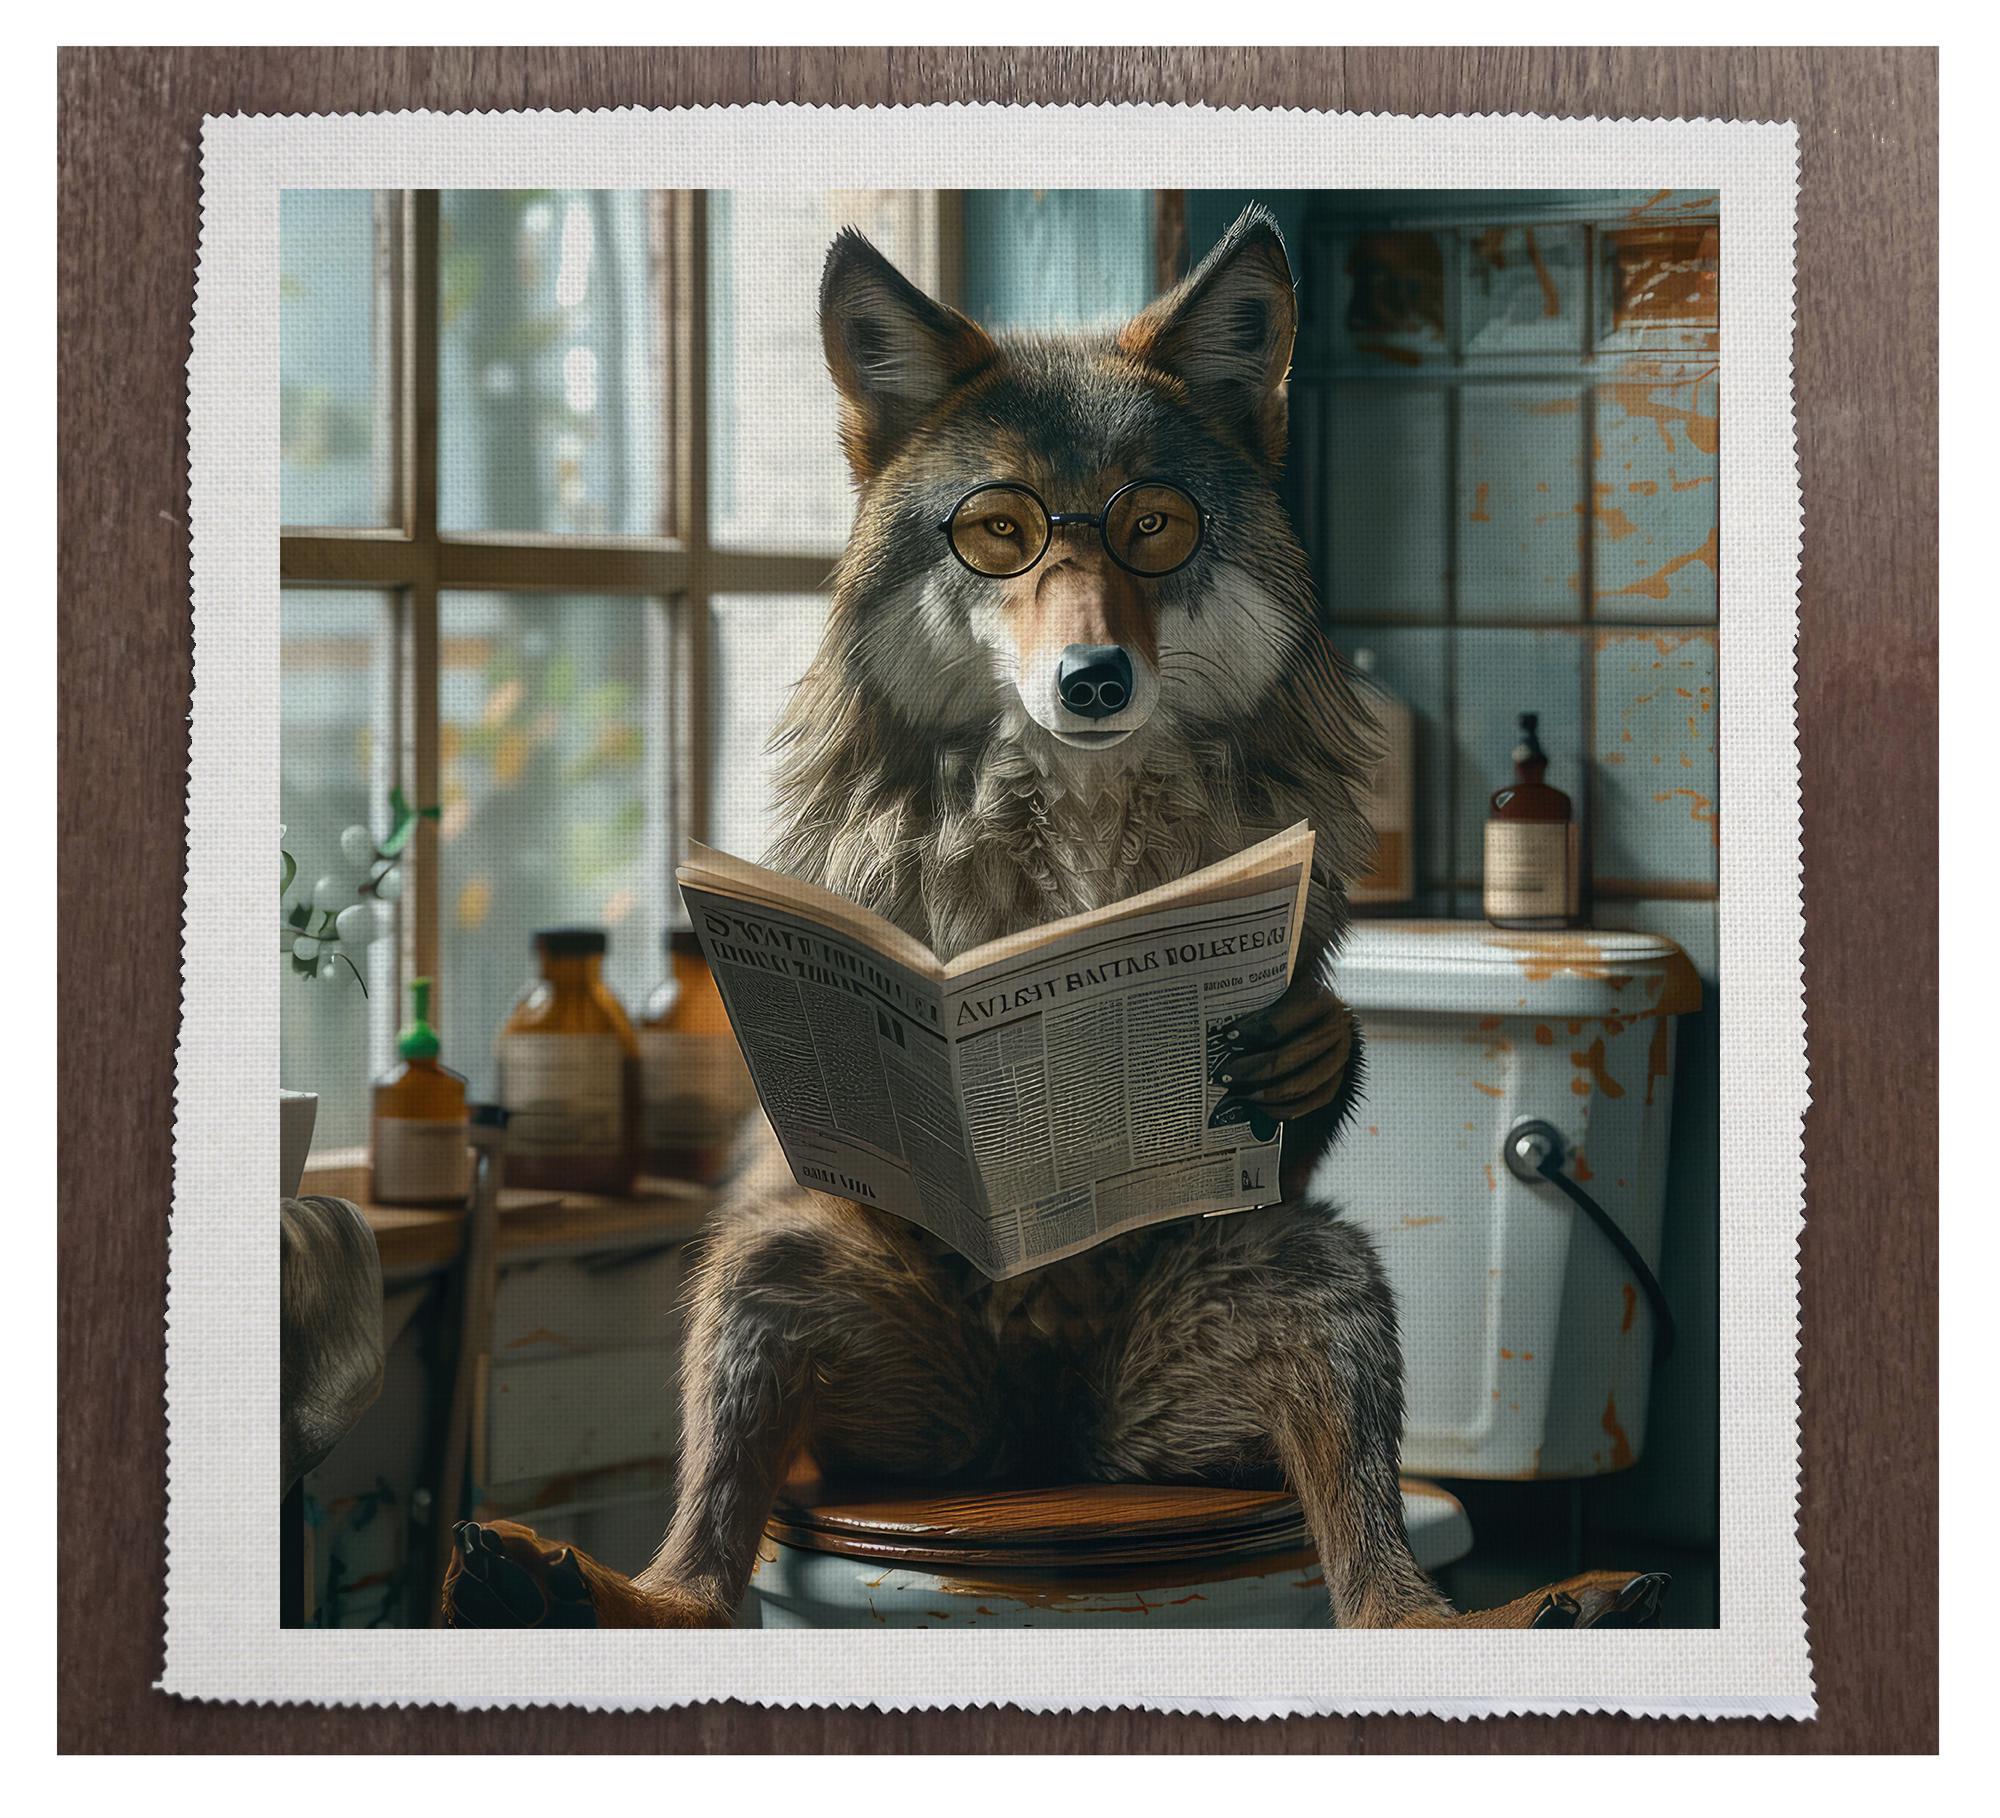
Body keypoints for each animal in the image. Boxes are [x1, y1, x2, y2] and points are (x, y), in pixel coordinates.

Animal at [443, 208, 1665, 1633]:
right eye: (999, 532)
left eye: (1153, 526)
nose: (1092, 678)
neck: (1079, 842)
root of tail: (1041, 1452)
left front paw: (1312, 1048)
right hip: (786, 1294)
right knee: (699, 1569)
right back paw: (553, 1579)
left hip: (1306, 1289)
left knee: (1378, 1584)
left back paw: (1558, 1605)